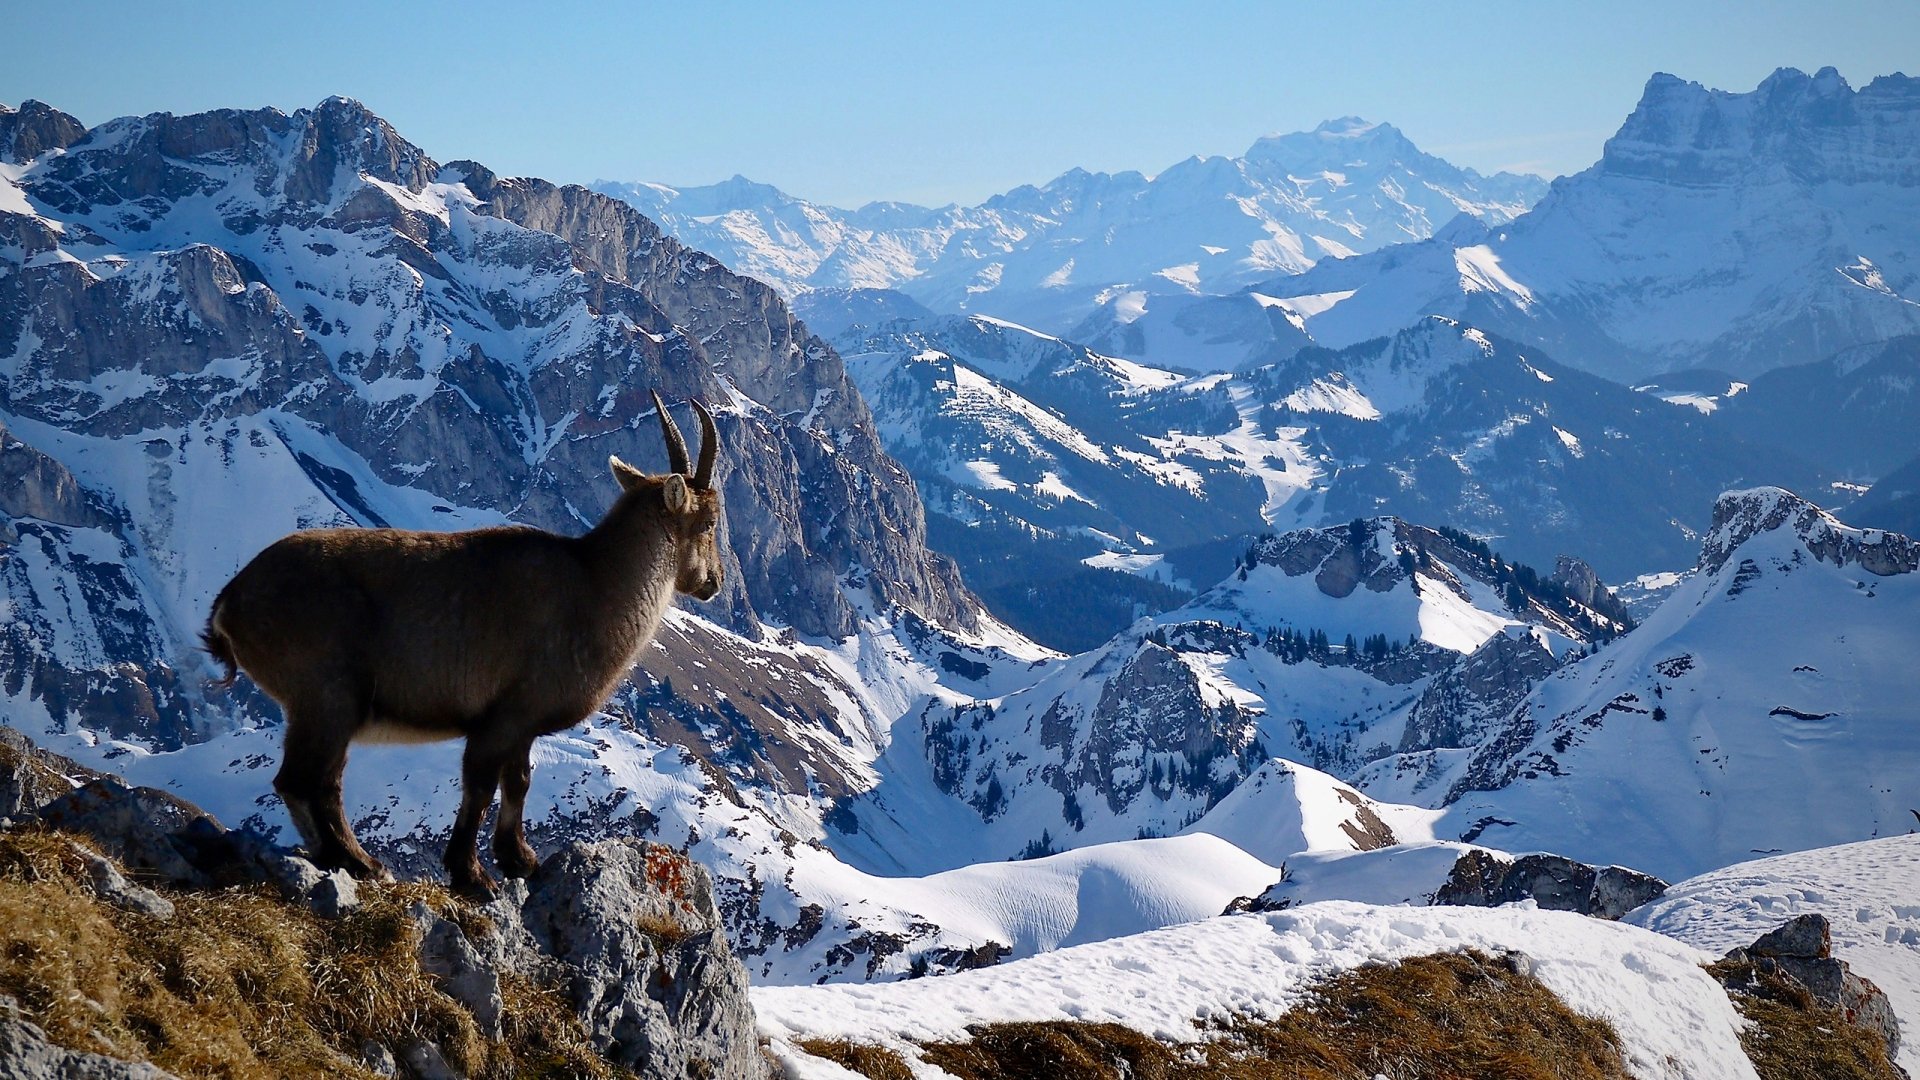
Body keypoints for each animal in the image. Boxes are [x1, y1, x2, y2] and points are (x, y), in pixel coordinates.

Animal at [203, 391, 723, 898]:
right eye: (710, 522)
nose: (714, 582)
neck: (594, 589)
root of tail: (230, 601)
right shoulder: (500, 718)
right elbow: (480, 786)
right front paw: (472, 875)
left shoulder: (522, 723)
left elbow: (519, 781)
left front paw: (519, 860)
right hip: (328, 697)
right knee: (307, 780)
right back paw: (357, 862)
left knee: (315, 781)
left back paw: (347, 858)